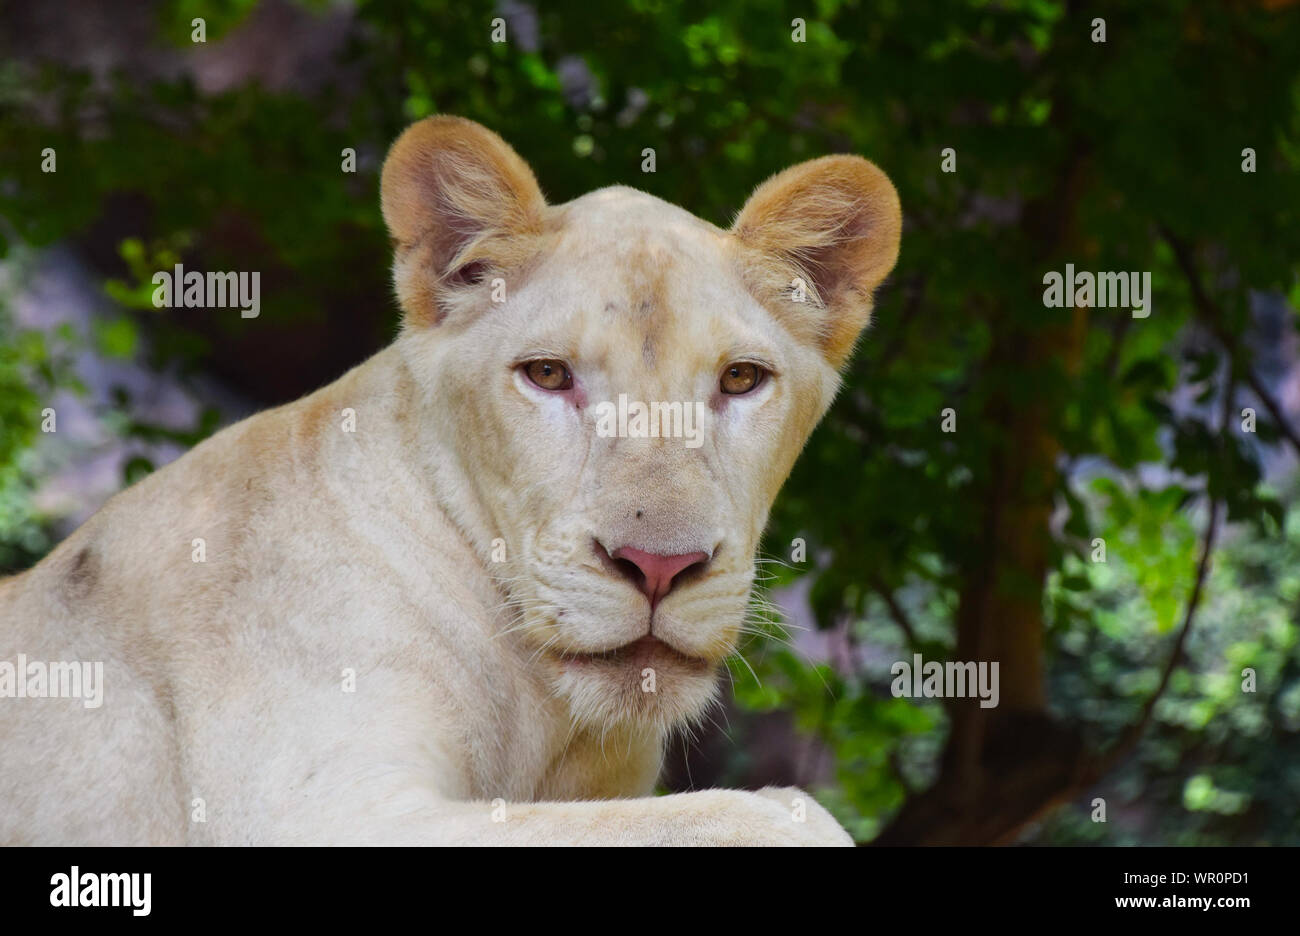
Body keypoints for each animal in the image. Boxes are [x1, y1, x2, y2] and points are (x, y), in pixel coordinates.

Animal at [0, 116, 901, 845]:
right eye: (547, 374)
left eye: (741, 381)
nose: (658, 567)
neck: (549, 715)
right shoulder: (312, 808)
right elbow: (753, 815)